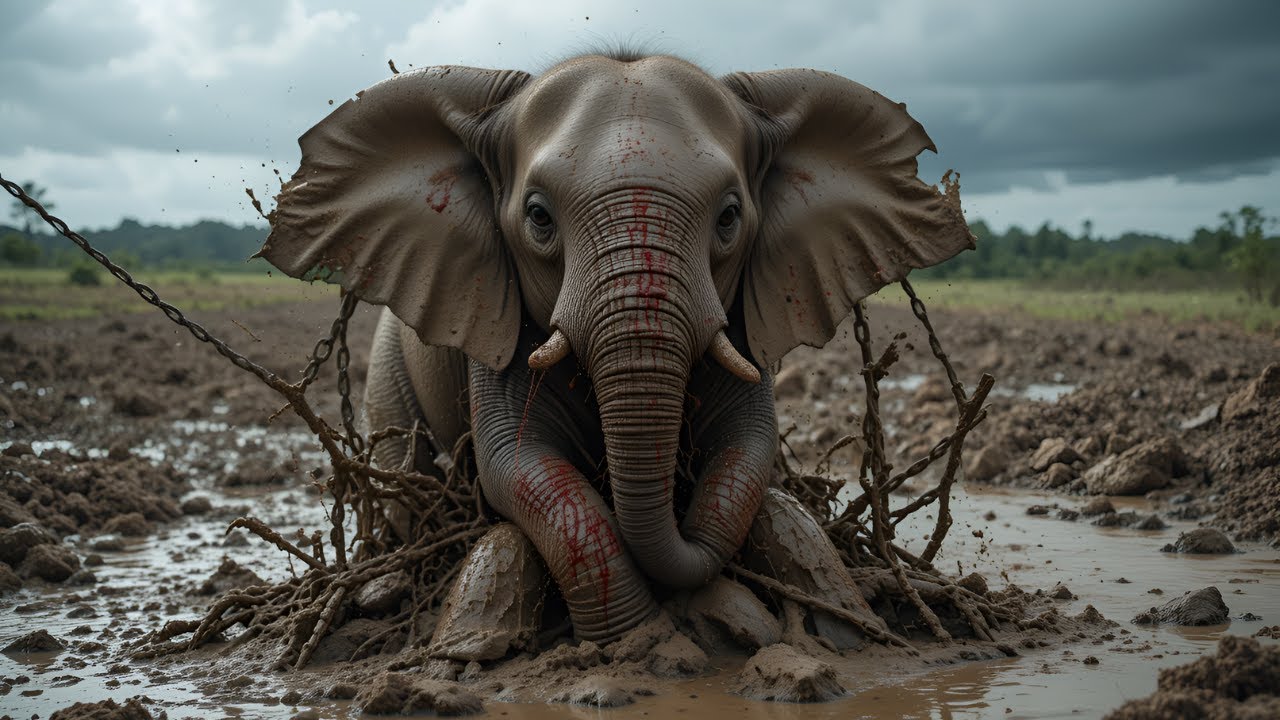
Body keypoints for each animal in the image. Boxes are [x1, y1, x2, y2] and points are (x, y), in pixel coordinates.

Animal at [258, 50, 973, 653]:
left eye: (729, 218)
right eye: (538, 218)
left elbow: (749, 447)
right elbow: (520, 469)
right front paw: (637, 641)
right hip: (388, 375)